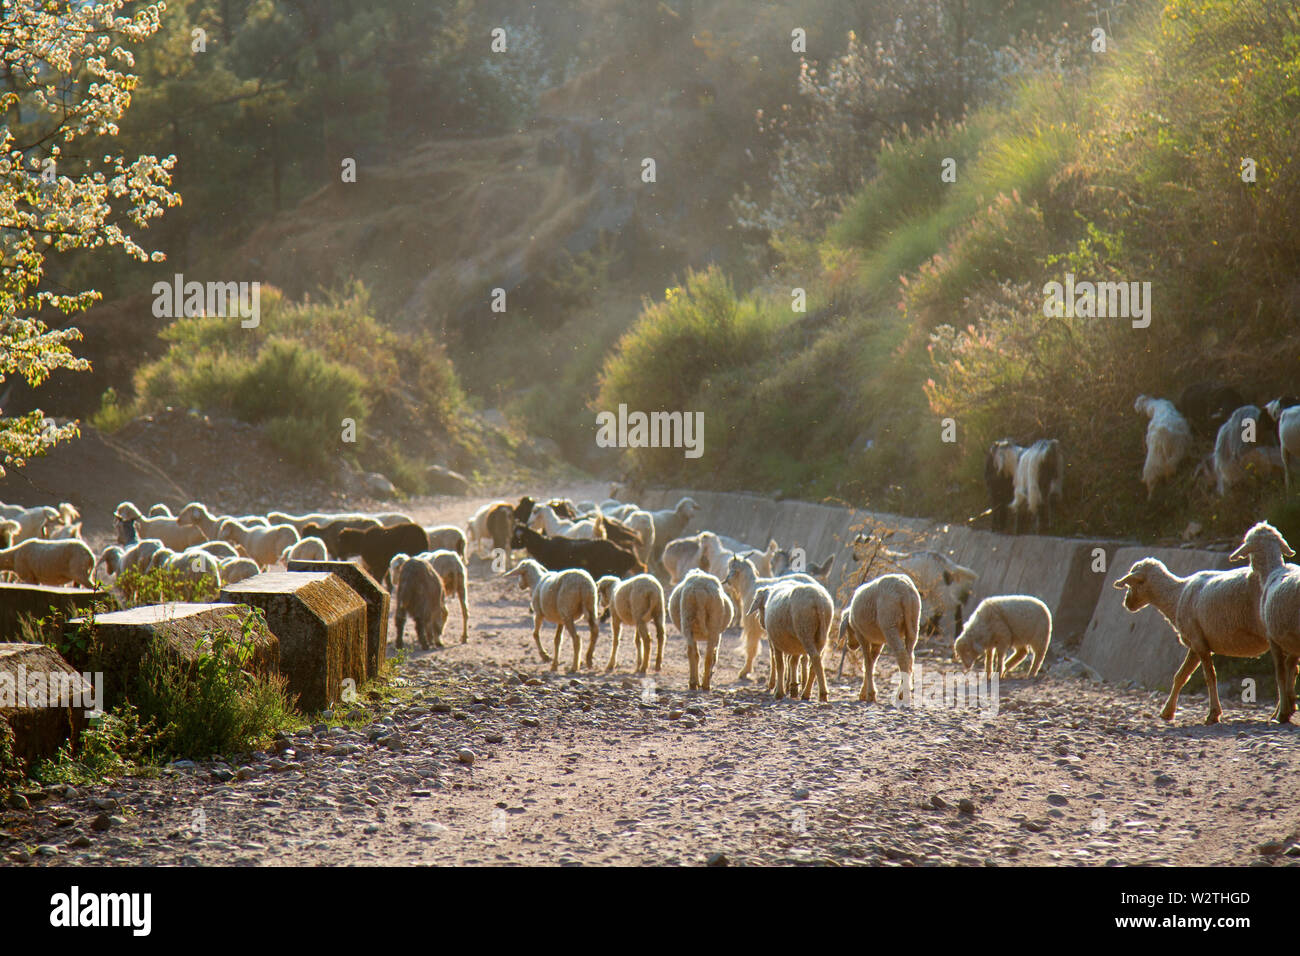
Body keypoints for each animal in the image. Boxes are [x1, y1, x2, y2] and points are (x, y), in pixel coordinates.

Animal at [838, 574, 922, 703]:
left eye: (848, 628)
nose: (850, 646)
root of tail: (905, 590)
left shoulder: (861, 635)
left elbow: (867, 662)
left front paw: (870, 694)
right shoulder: (878, 642)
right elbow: (872, 662)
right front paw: (864, 692)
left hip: (890, 623)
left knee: (901, 655)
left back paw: (901, 695)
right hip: (913, 623)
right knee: (910, 656)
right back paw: (904, 691)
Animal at [1113, 555, 1269, 724]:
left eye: (1133, 582)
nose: (1127, 602)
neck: (1176, 596)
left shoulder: (1198, 642)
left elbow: (1210, 677)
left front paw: (1213, 714)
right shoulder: (1196, 645)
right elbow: (1180, 676)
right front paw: (1167, 712)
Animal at [1228, 522, 1300, 722]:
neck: (1271, 570)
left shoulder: (1272, 637)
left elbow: (1281, 673)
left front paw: (1283, 713)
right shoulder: (1291, 641)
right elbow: (1292, 670)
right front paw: (1288, 706)